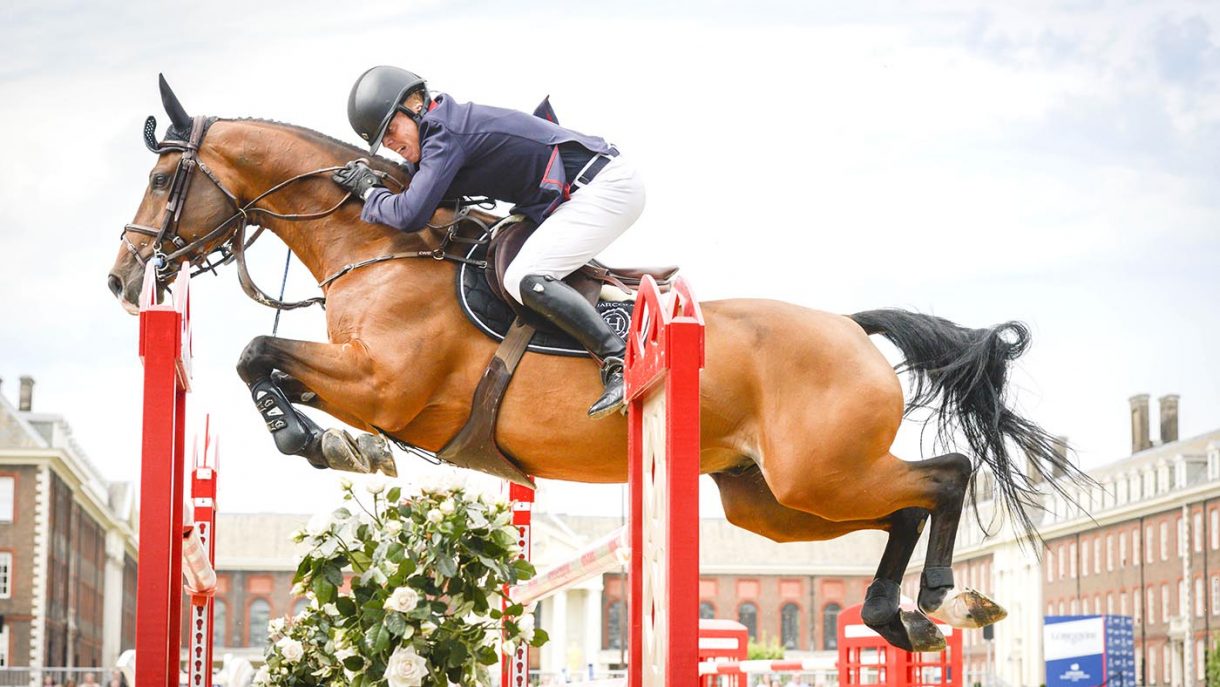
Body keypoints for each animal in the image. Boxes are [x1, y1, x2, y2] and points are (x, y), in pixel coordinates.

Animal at [107, 80, 1082, 652]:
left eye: (160, 180)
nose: (121, 278)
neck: (375, 248)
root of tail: (849, 326)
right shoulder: (360, 378)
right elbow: (266, 362)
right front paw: (336, 446)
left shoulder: (382, 383)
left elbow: (256, 354)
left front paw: (327, 443)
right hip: (774, 500)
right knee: (905, 503)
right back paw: (897, 612)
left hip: (820, 473)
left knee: (944, 474)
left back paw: (947, 598)